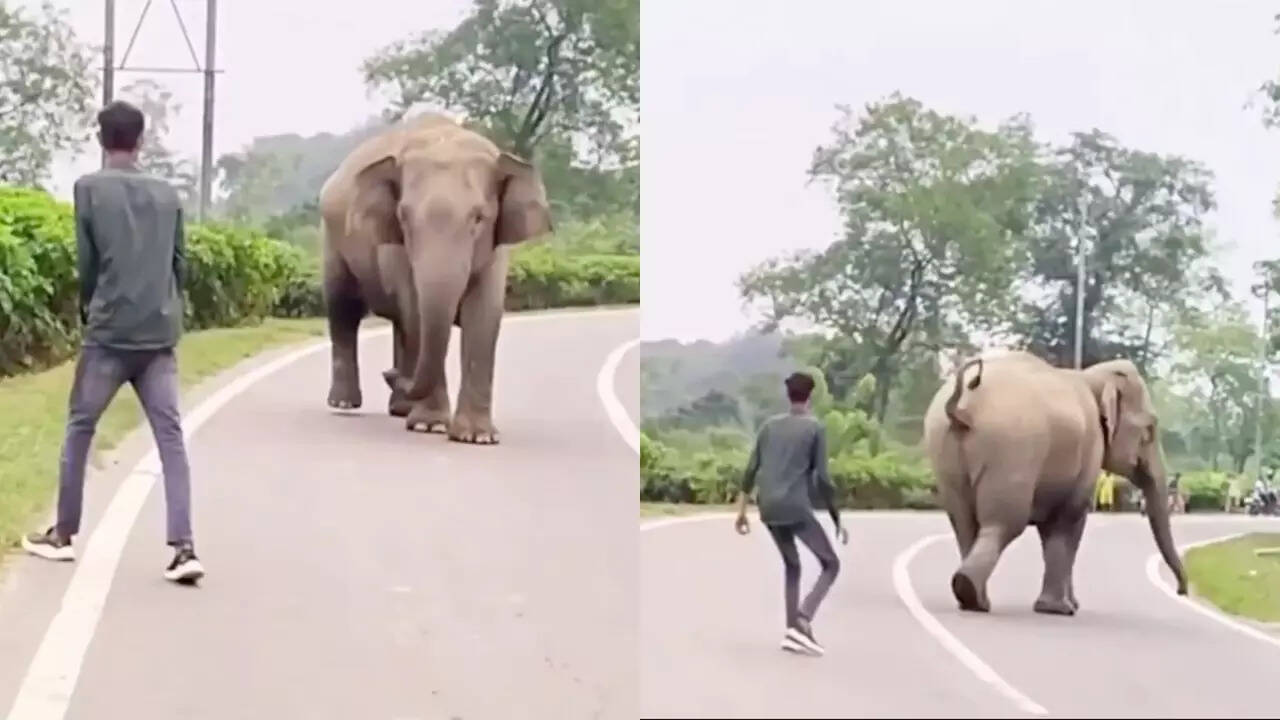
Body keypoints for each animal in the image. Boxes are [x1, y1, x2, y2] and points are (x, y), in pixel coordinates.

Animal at [317, 113, 553, 443]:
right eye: (403, 217)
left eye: (479, 218)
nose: (389, 375)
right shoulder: (396, 244)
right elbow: (416, 311)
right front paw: (430, 426)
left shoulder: (497, 248)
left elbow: (484, 315)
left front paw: (477, 437)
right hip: (332, 239)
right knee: (345, 309)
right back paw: (345, 403)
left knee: (399, 324)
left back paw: (401, 408)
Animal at [921, 351, 1187, 616]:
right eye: (1149, 430)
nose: (1181, 591)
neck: (1092, 376)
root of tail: (964, 402)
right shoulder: (1090, 447)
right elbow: (1069, 519)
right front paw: (1061, 609)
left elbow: (1053, 527)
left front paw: (1068, 605)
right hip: (1012, 453)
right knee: (1003, 523)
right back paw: (973, 595)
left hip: (944, 451)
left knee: (964, 524)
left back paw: (972, 600)